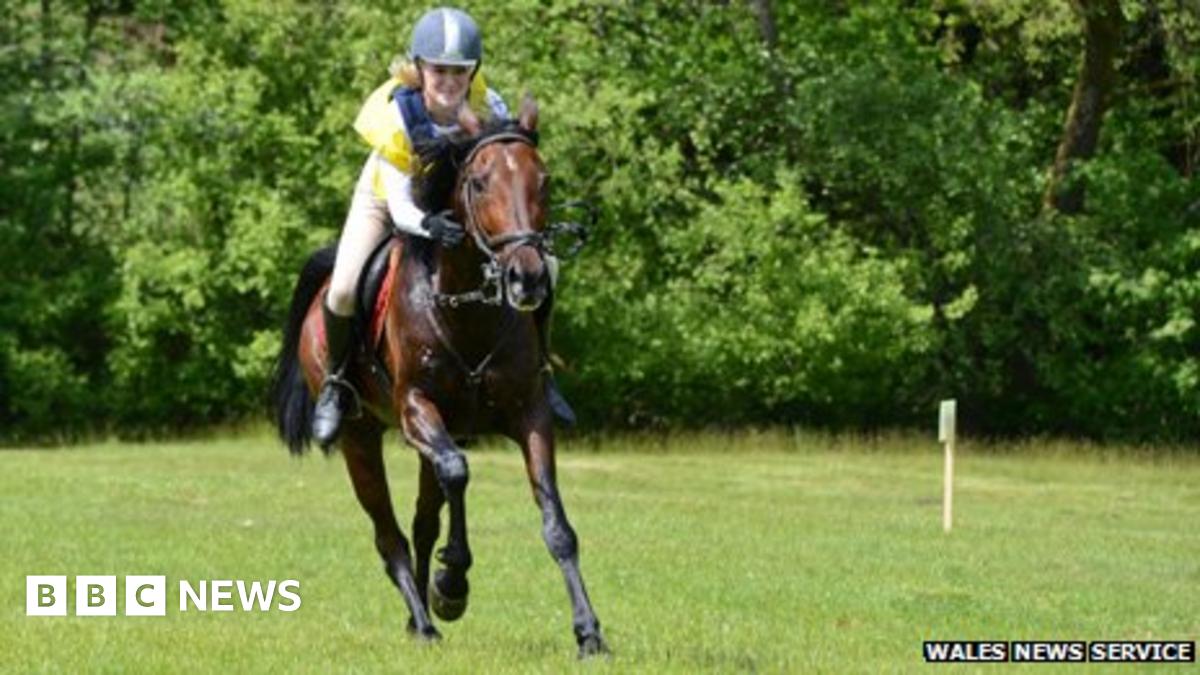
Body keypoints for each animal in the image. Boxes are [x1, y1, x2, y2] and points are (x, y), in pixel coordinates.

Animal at [268, 96, 607, 657]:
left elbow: (556, 523)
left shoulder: (529, 414)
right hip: (361, 436)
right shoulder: (417, 410)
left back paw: (420, 614)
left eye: (544, 180)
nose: (528, 277)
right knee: (390, 533)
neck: (466, 306)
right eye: (480, 183)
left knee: (424, 520)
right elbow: (457, 473)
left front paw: (589, 632)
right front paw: (452, 584)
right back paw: (426, 620)